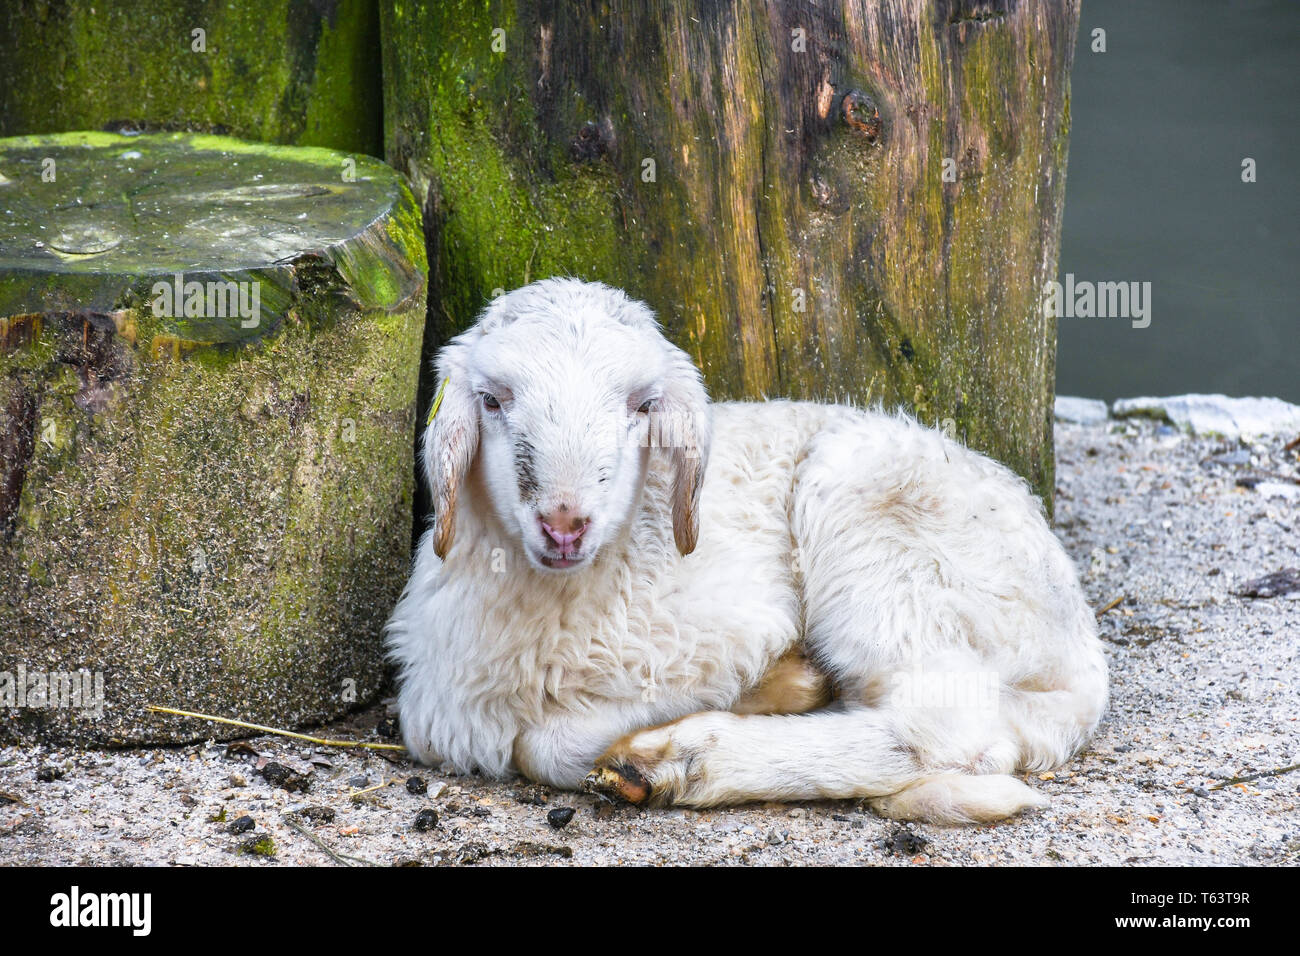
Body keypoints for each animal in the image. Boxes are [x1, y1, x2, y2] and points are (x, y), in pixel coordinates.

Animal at [384, 277, 1107, 822]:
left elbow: (542, 741)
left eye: (644, 404)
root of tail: (1083, 660)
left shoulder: (737, 624)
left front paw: (779, 685)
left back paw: (672, 760)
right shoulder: (438, 709)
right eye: (490, 399)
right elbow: (526, 741)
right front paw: (786, 683)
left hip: (883, 535)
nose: (565, 524)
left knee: (942, 729)